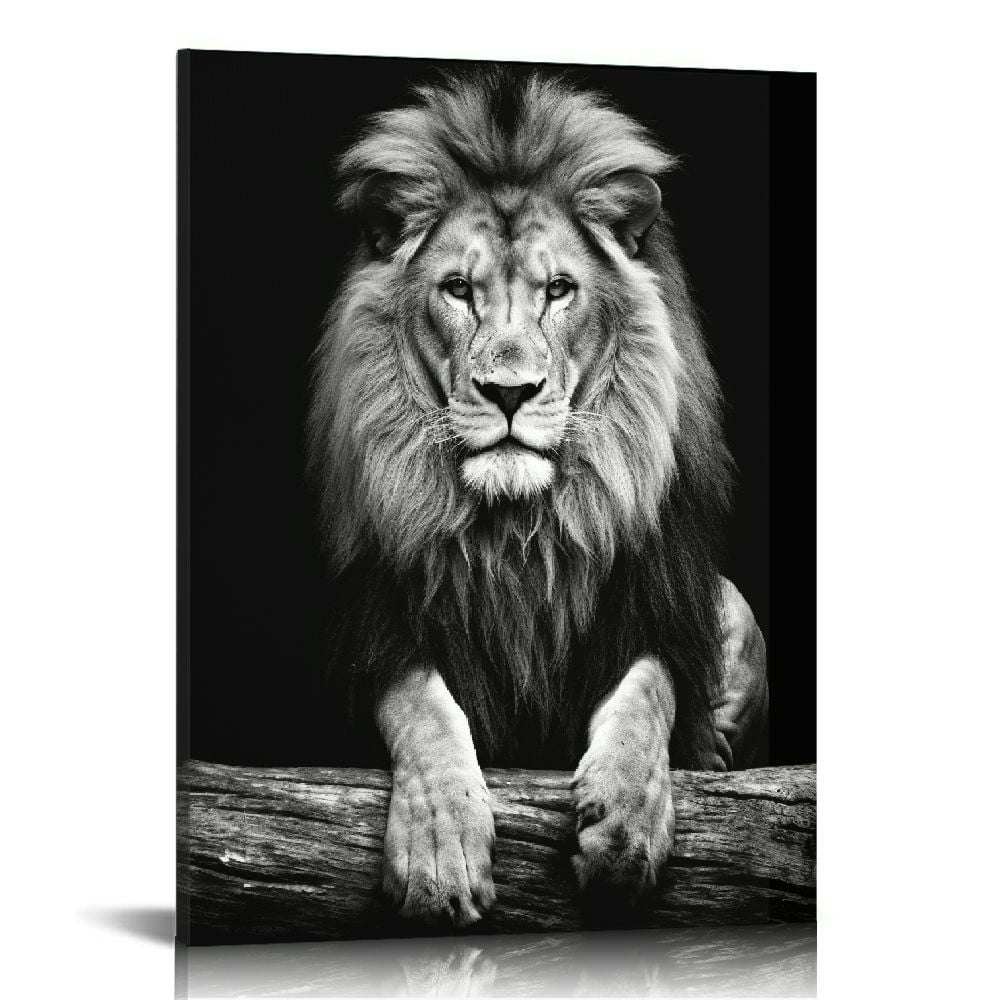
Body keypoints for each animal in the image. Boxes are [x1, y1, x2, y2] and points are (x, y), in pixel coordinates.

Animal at [307, 69, 768, 928]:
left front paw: (625, 822)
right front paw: (441, 846)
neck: (518, 532)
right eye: (458, 290)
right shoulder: (377, 624)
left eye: (559, 290)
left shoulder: (651, 601)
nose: (511, 392)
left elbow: (649, 687)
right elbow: (420, 702)